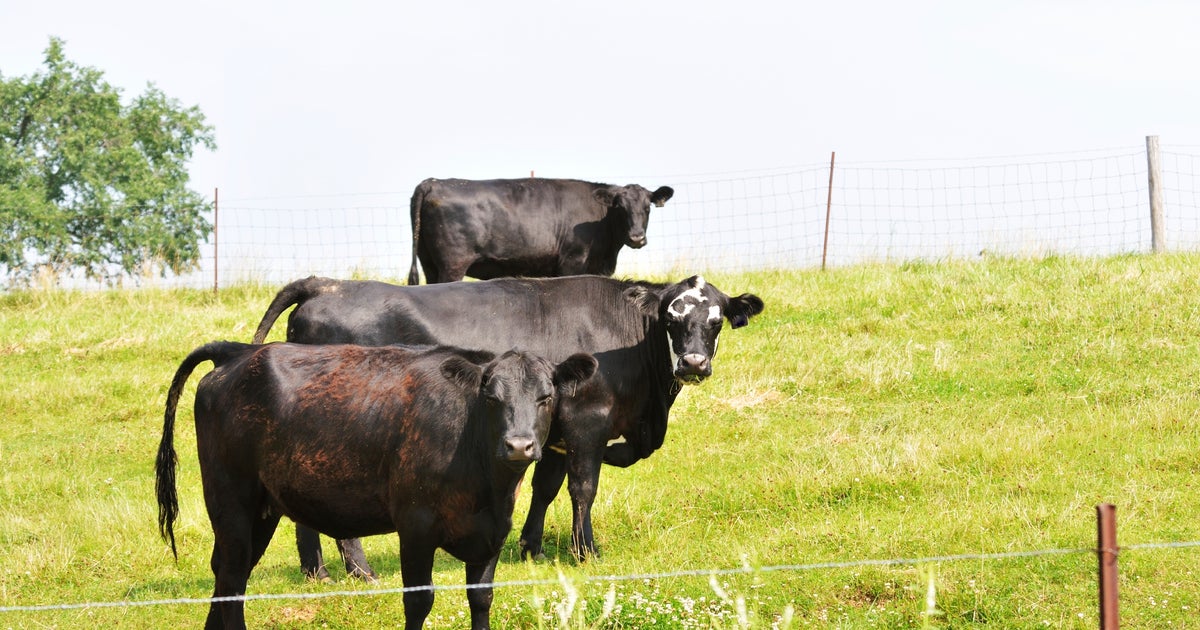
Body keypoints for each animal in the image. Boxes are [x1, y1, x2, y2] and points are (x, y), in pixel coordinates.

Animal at [155, 341, 597, 630]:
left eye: (546, 396)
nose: (519, 445)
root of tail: (239, 352)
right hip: (230, 500)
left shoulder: (493, 531)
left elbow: (481, 597)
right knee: (232, 580)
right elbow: (419, 600)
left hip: (260, 511)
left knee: (228, 573)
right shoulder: (416, 526)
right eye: (490, 397)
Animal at [250, 273, 765, 579]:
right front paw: (585, 552)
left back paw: (317, 572)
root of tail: (327, 284)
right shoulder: (587, 423)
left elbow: (545, 489)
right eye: (671, 317)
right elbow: (583, 487)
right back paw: (359, 571)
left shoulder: (551, 432)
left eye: (716, 321)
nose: (694, 363)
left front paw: (532, 548)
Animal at [407, 177, 674, 284]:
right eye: (620, 207)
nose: (637, 237)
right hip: (452, 264)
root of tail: (432, 182)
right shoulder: (572, 262)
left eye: (647, 207)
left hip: (428, 261)